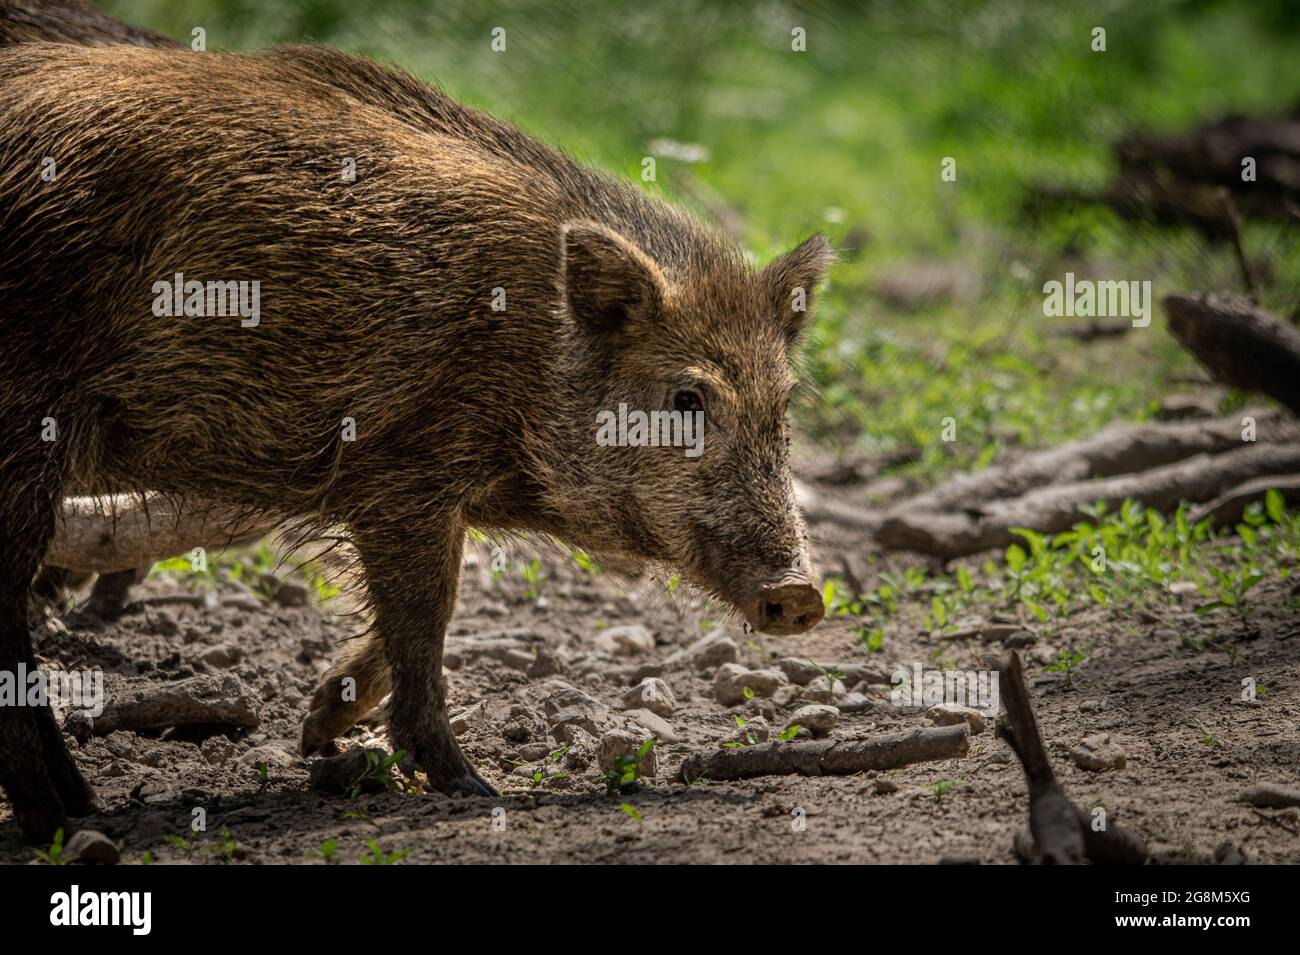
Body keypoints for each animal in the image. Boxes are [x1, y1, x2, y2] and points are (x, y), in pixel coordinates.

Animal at [0, 35, 830, 840]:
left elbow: (422, 613)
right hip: (27, 428)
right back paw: (63, 823)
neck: (531, 354)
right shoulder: (401, 471)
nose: (801, 593)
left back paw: (82, 805)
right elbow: (426, 616)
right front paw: (467, 783)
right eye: (688, 399)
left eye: (783, 404)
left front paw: (318, 731)